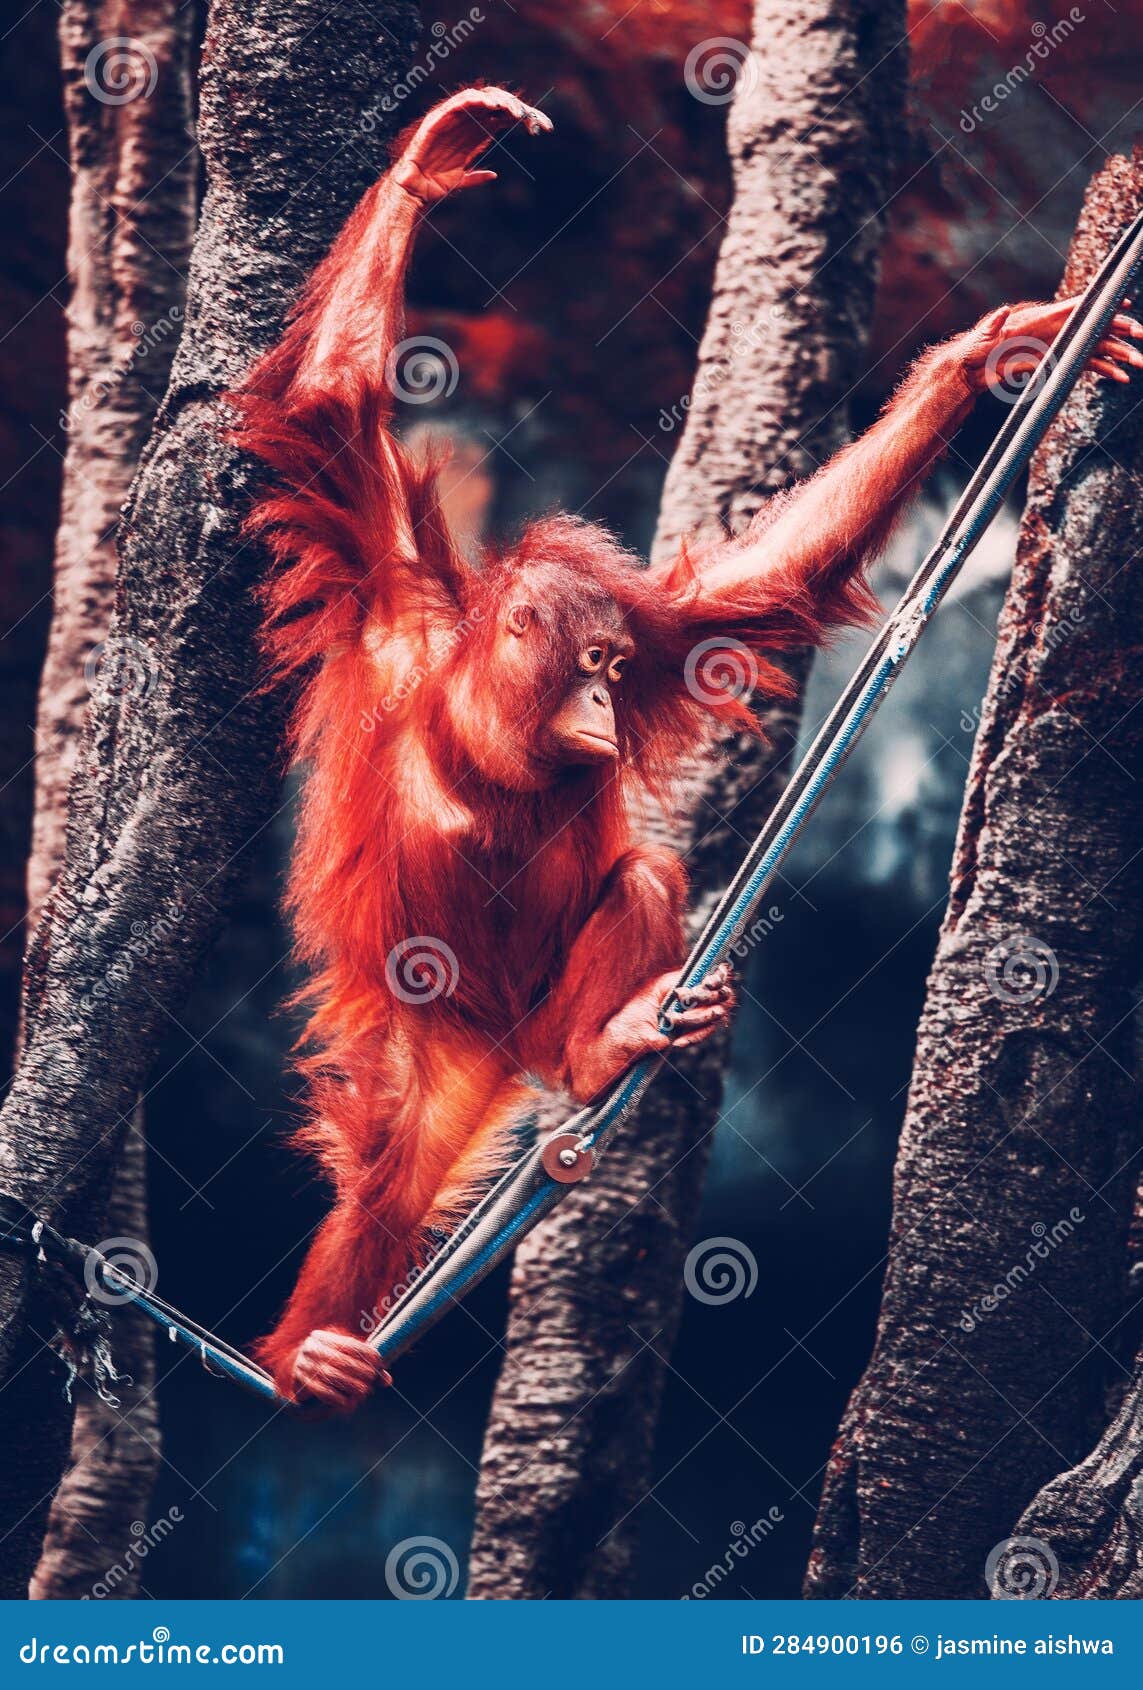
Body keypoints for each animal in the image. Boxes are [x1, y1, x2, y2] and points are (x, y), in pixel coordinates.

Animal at [232, 86, 1143, 1410]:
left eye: (618, 671)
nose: (605, 709)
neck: (479, 728)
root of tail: (511, 1050)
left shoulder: (666, 635)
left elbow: (743, 594)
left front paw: (987, 356)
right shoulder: (392, 600)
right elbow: (330, 406)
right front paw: (425, 166)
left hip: (532, 1028)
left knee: (648, 880)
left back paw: (601, 1051)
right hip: (436, 1044)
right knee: (386, 1175)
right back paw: (316, 1359)